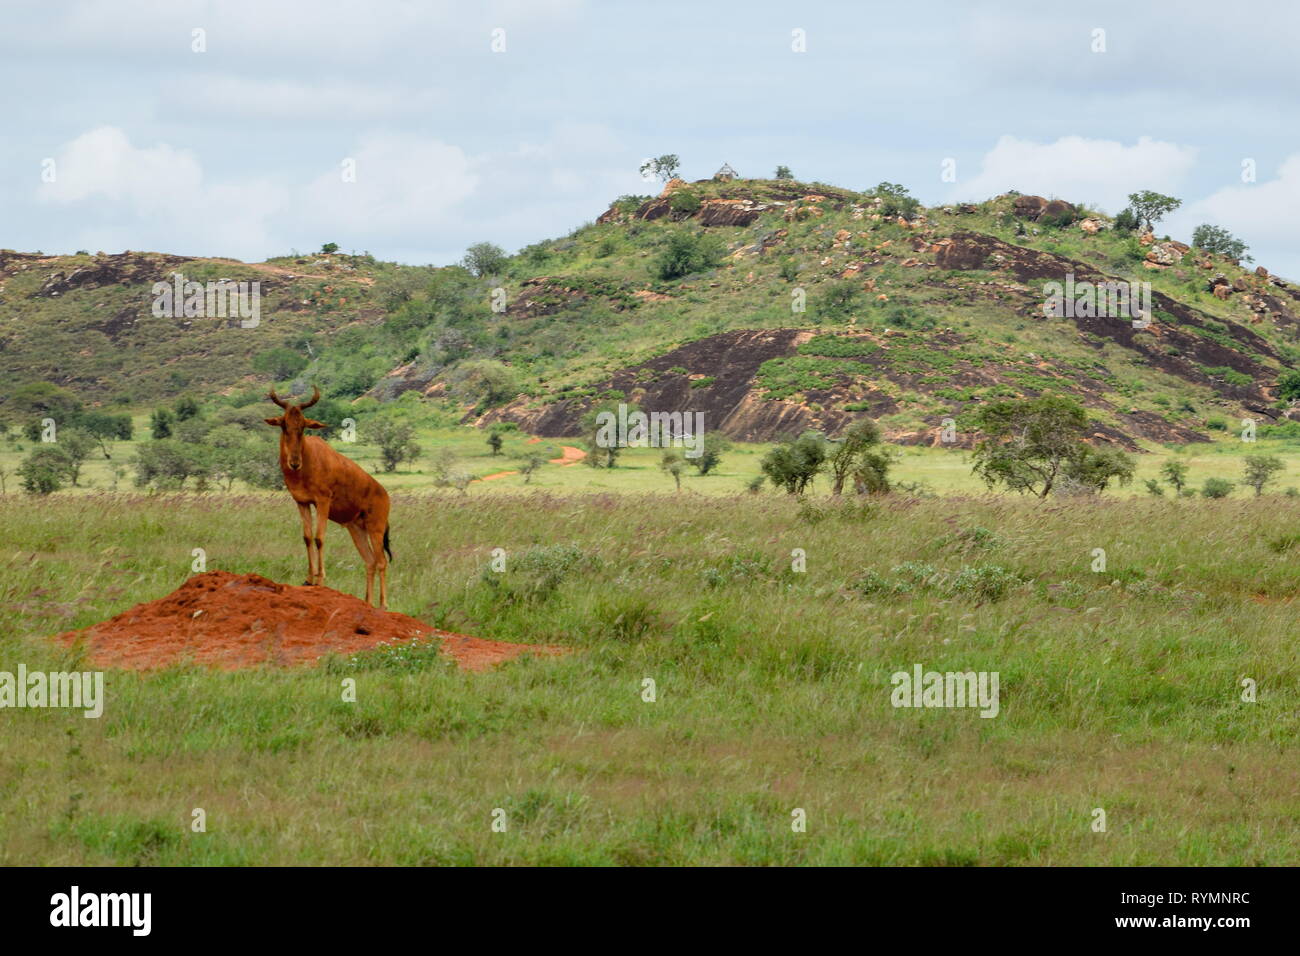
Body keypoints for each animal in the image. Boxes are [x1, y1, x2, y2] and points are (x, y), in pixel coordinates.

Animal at [265, 386, 392, 608]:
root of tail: (385, 495)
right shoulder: (302, 502)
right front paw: (308, 579)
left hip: (375, 528)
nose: (294, 463)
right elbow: (307, 537)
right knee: (370, 561)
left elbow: (319, 538)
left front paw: (320, 579)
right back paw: (367, 602)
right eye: (284, 424)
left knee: (382, 561)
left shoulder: (323, 501)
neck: (309, 458)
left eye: (303, 426)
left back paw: (383, 605)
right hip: (356, 529)